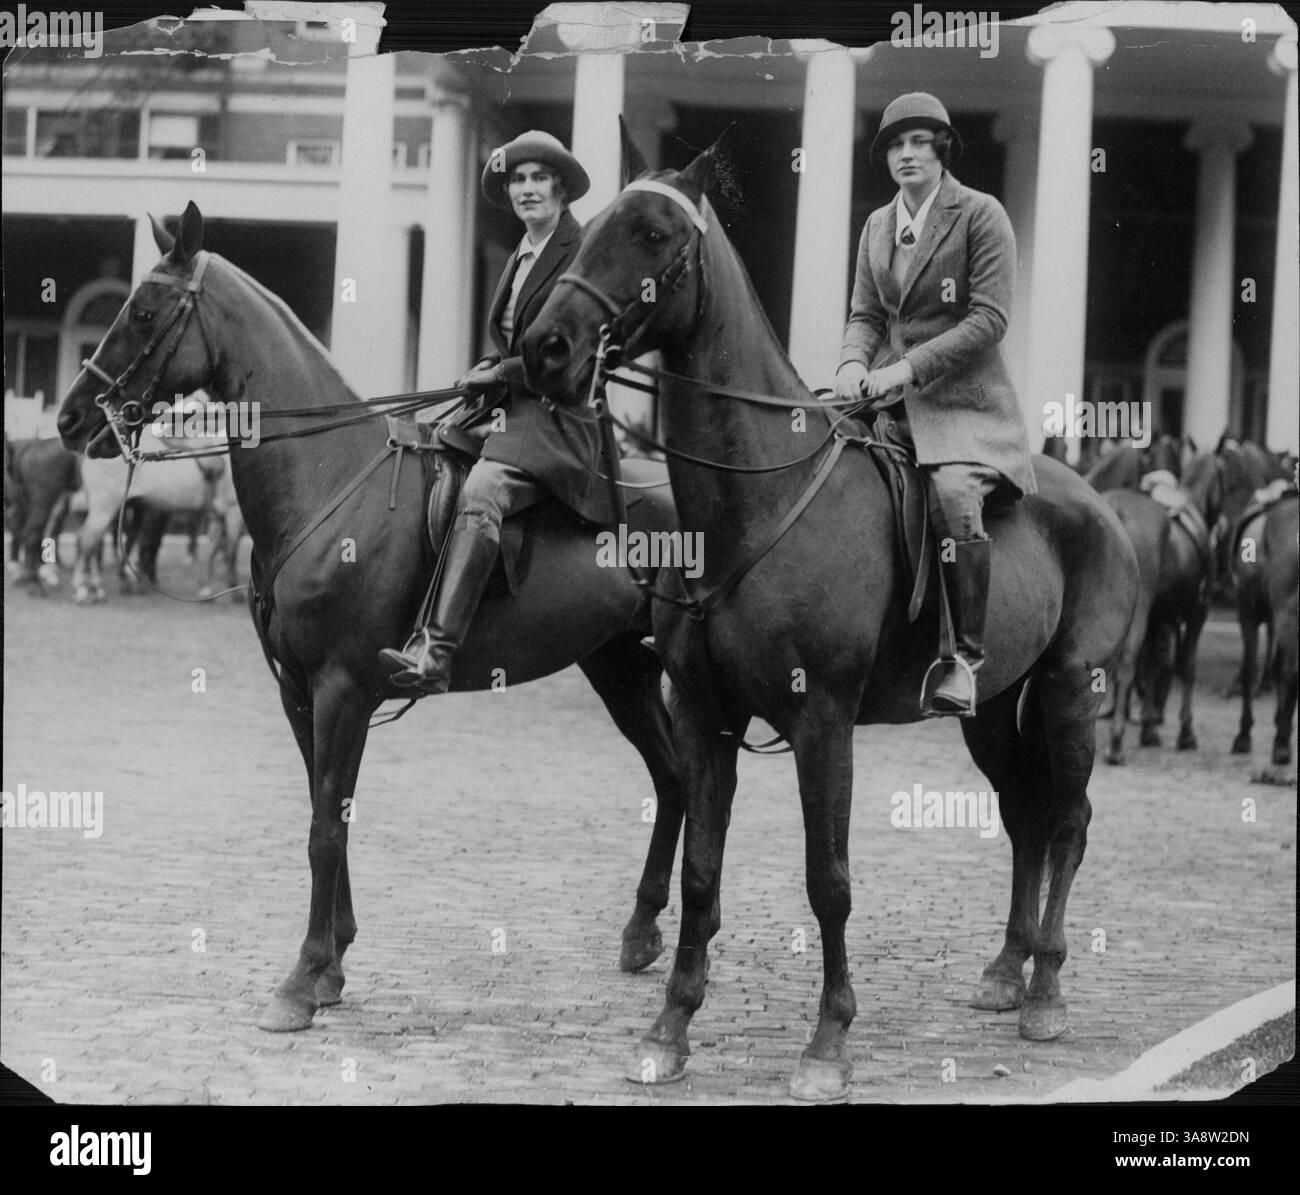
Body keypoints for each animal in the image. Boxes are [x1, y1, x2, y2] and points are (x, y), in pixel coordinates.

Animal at [57, 200, 687, 1034]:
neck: (328, 480)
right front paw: (332, 962)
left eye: (143, 310)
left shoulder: (341, 690)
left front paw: (300, 980)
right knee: (674, 777)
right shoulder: (300, 692)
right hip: (619, 664)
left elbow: (325, 828)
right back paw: (642, 931)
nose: (71, 419)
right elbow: (332, 812)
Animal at [523, 132, 1139, 1099]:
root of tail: (1102, 501)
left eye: (654, 233)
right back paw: (1006, 971)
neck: (758, 501)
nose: (545, 346)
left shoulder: (823, 721)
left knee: (1069, 822)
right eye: (592, 229)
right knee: (1027, 816)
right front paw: (670, 1027)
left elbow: (829, 880)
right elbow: (702, 872)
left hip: (1074, 691)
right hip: (994, 706)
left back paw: (1045, 989)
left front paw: (827, 1042)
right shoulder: (704, 717)